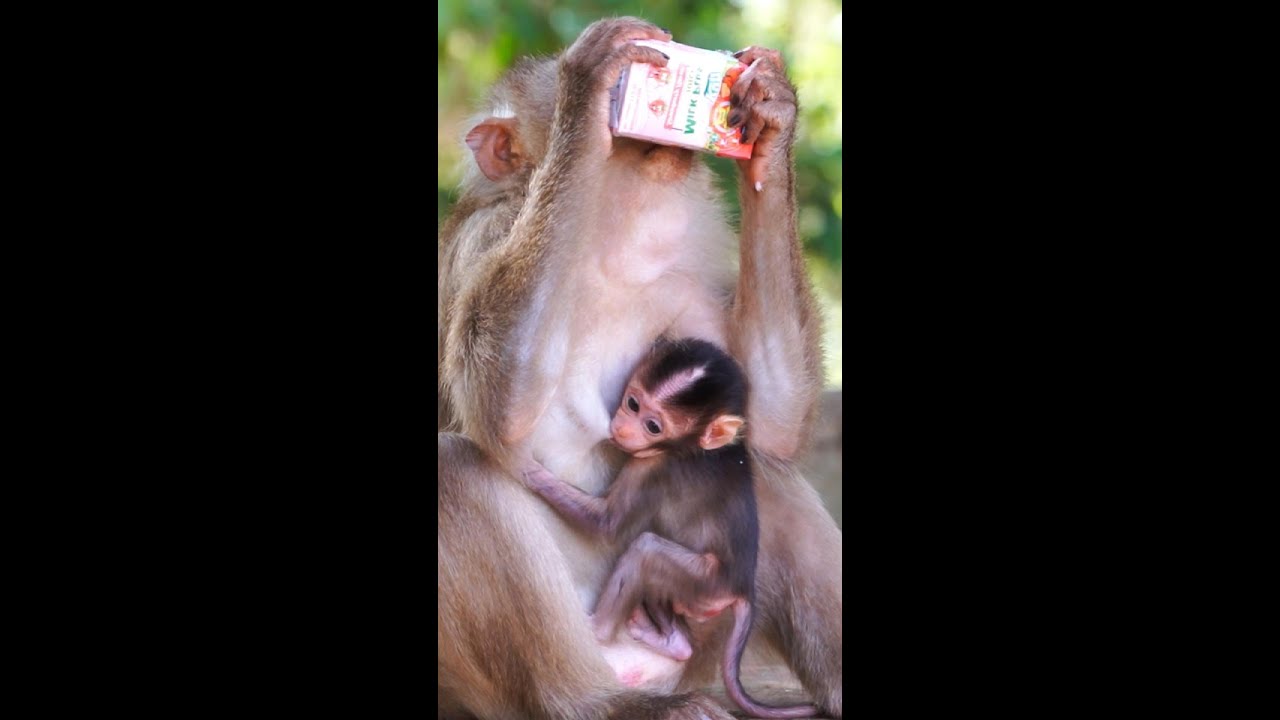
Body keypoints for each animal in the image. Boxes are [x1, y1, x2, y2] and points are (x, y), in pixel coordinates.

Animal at [522, 338, 821, 719]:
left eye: (653, 426)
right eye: (633, 403)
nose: (622, 428)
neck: (690, 447)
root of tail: (742, 588)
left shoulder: (651, 466)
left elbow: (607, 525)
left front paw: (527, 469)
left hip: (704, 583)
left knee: (645, 551)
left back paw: (597, 631)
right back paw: (673, 642)